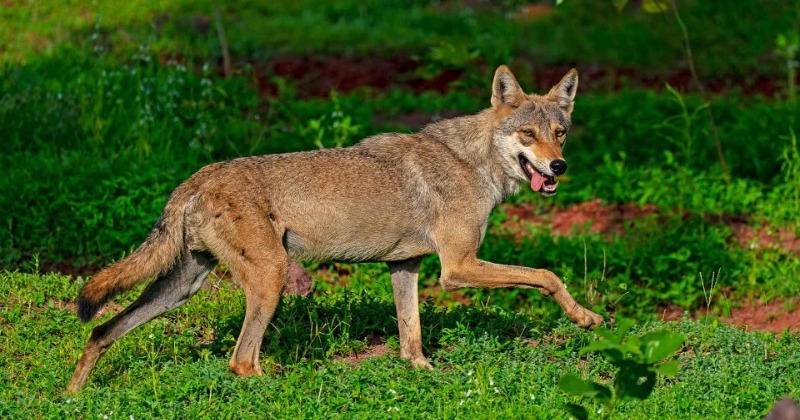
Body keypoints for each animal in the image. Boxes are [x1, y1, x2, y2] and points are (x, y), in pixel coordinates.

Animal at [67, 65, 603, 393]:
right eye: (528, 134)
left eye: (560, 133)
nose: (558, 167)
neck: (473, 164)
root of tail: (197, 177)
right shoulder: (457, 268)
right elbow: (546, 276)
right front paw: (586, 318)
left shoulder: (405, 267)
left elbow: (411, 338)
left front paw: (424, 374)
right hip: (271, 279)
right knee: (242, 362)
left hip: (181, 289)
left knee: (101, 330)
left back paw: (71, 397)